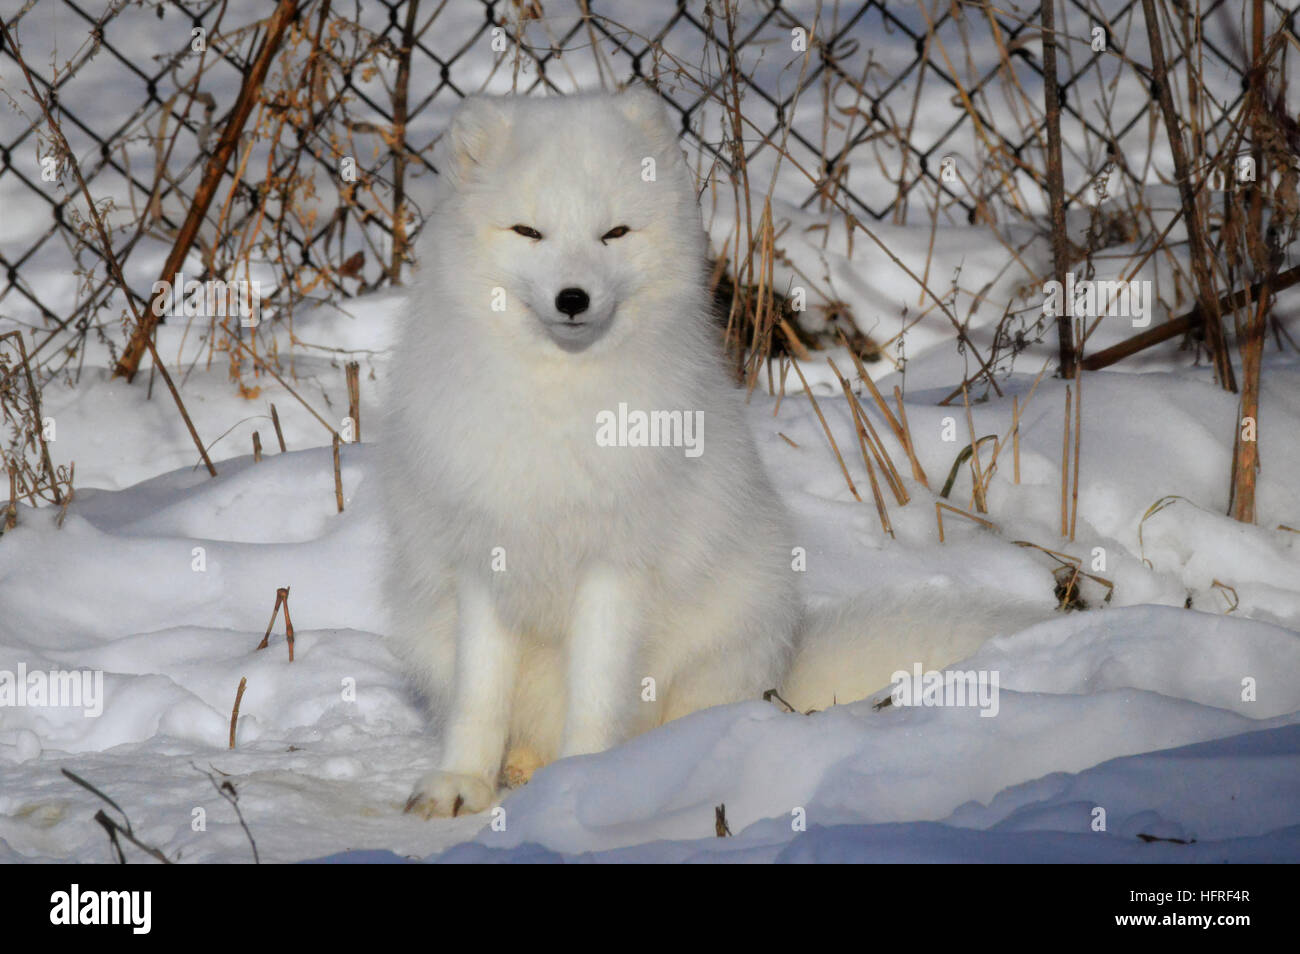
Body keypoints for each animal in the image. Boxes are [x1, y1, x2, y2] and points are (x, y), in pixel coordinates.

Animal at [381, 89, 1047, 817]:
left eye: (615, 233)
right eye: (528, 232)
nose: (573, 299)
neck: (558, 404)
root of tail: (784, 671)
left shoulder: (617, 567)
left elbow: (597, 694)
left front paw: (581, 782)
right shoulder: (481, 560)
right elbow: (479, 693)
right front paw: (461, 782)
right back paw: (521, 768)